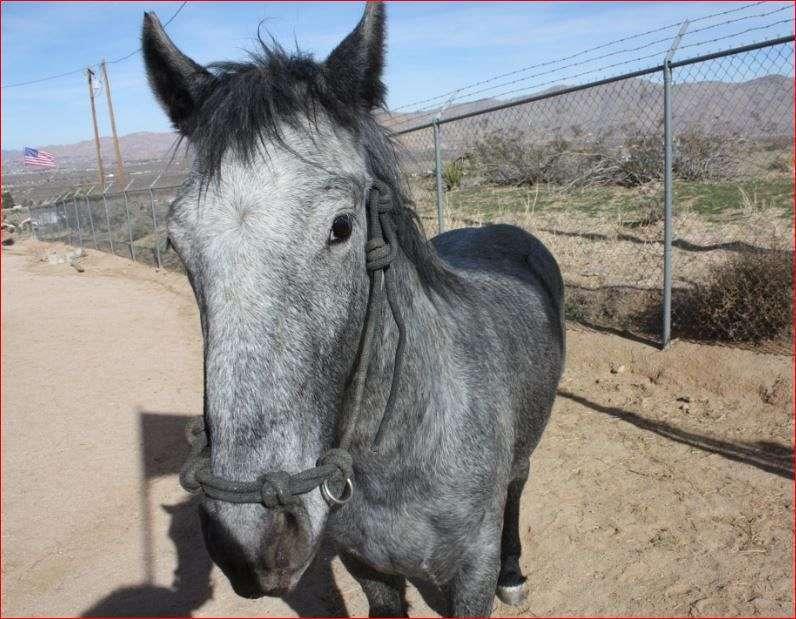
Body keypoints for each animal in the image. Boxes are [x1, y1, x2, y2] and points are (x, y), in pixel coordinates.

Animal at [142, 3, 565, 616]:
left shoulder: (471, 576)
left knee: (519, 485)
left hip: (524, 457)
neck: (396, 453)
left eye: (341, 227)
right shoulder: (366, 567)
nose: (251, 541)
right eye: (177, 242)